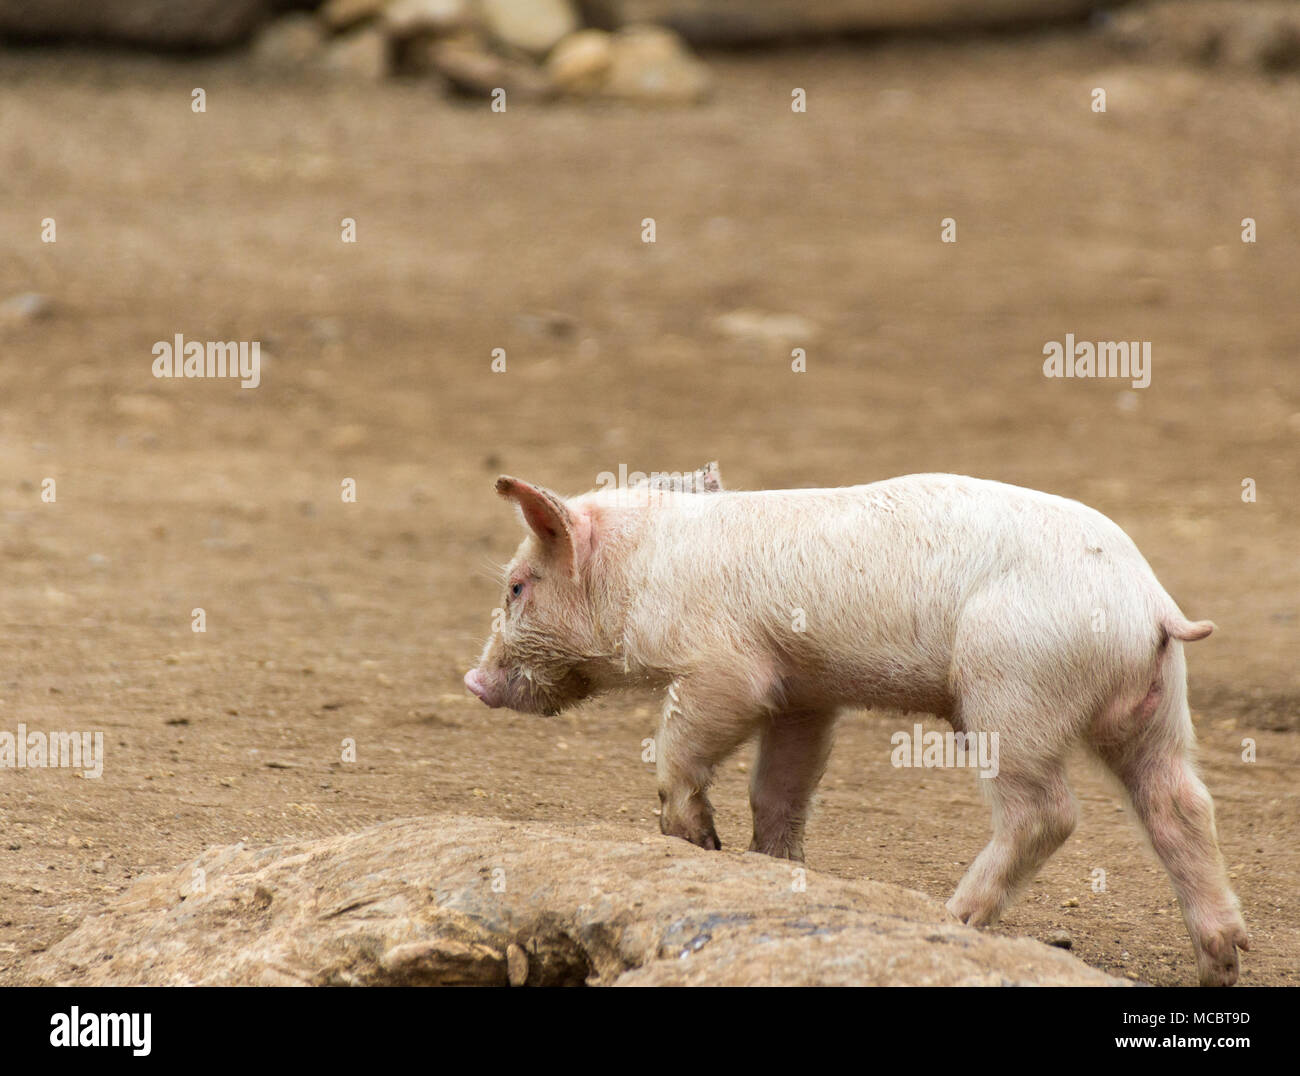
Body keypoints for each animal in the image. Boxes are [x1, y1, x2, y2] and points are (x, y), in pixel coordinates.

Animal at [464, 470, 1249, 986]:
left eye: (517, 587)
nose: (474, 680)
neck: (641, 575)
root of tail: (1149, 603)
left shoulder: (727, 666)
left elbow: (685, 743)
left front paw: (695, 840)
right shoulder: (806, 693)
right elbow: (780, 788)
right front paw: (774, 864)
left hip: (1012, 691)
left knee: (1047, 812)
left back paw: (952, 915)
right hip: (1154, 708)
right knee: (1181, 803)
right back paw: (1220, 964)